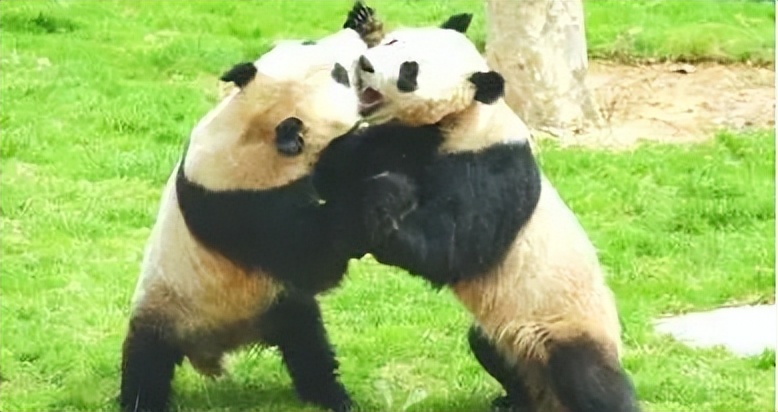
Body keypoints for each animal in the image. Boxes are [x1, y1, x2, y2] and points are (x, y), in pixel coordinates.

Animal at [119, 6, 384, 412]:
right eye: (340, 75)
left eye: (310, 42)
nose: (357, 49)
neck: (253, 135)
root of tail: (217, 344)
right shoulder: (243, 208)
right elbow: (313, 262)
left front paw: (363, 22)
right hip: (167, 305)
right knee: (146, 363)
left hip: (280, 303)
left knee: (308, 344)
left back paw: (330, 395)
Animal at [312, 13, 641, 412]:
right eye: (392, 43)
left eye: (409, 72)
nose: (365, 64)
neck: (465, 117)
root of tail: (549, 398)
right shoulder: (409, 139)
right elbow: (339, 169)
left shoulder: (488, 165)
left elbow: (452, 248)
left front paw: (379, 211)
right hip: (509, 335)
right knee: (486, 345)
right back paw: (513, 400)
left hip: (567, 322)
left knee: (589, 376)